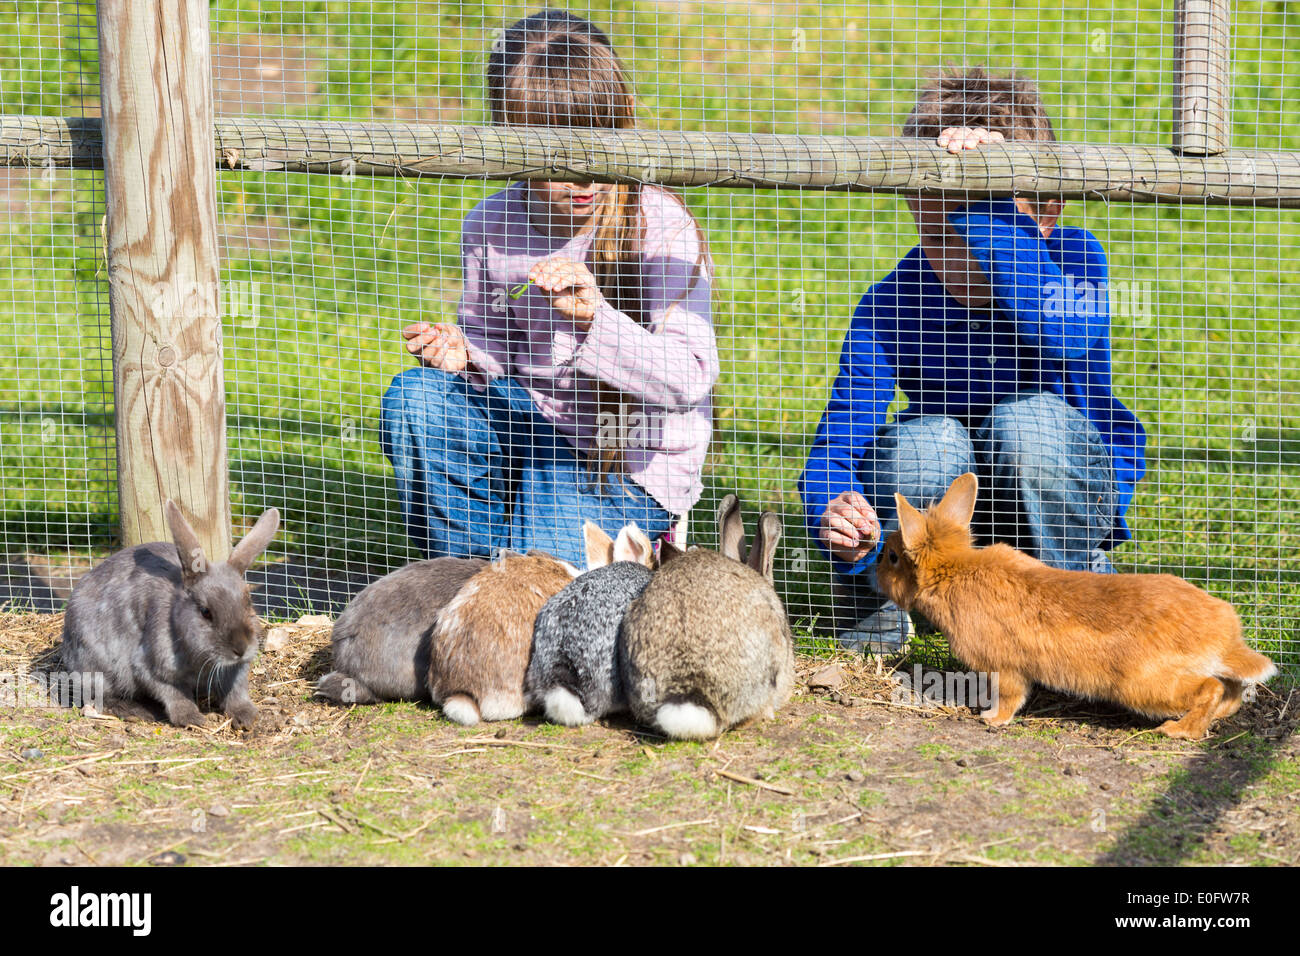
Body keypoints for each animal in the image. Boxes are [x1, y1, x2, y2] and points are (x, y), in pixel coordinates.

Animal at [60, 500, 280, 729]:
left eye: (248, 602)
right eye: (206, 612)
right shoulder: (153, 668)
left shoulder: (234, 671)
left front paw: (247, 717)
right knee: (101, 697)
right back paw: (138, 711)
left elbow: (236, 693)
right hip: (97, 669)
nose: (241, 648)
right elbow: (176, 695)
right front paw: (192, 719)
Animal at [874, 472, 1277, 740]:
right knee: (1231, 691)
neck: (952, 573)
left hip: (1143, 685)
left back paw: (1178, 730)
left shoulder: (1005, 667)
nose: (875, 573)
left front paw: (991, 719)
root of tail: (1223, 637)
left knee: (1210, 689)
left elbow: (1011, 696)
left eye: (892, 556)